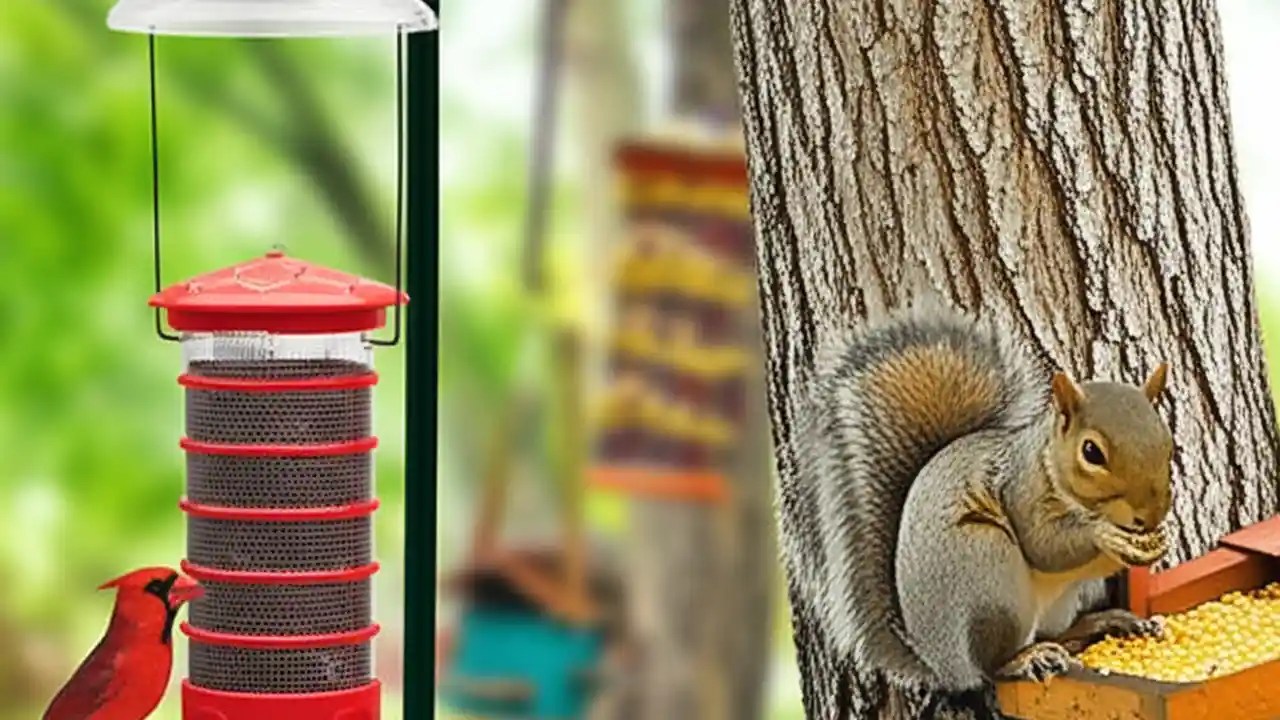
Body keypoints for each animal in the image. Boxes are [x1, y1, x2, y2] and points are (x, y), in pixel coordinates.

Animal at [786, 299, 1174, 691]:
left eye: (1166, 438)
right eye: (1091, 452)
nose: (1150, 515)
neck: (1048, 461)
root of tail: (940, 664)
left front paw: (1157, 538)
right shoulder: (1021, 490)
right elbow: (1045, 546)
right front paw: (1104, 534)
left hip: (1069, 596)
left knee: (1058, 633)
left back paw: (1104, 621)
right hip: (988, 571)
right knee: (992, 665)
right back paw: (1024, 659)